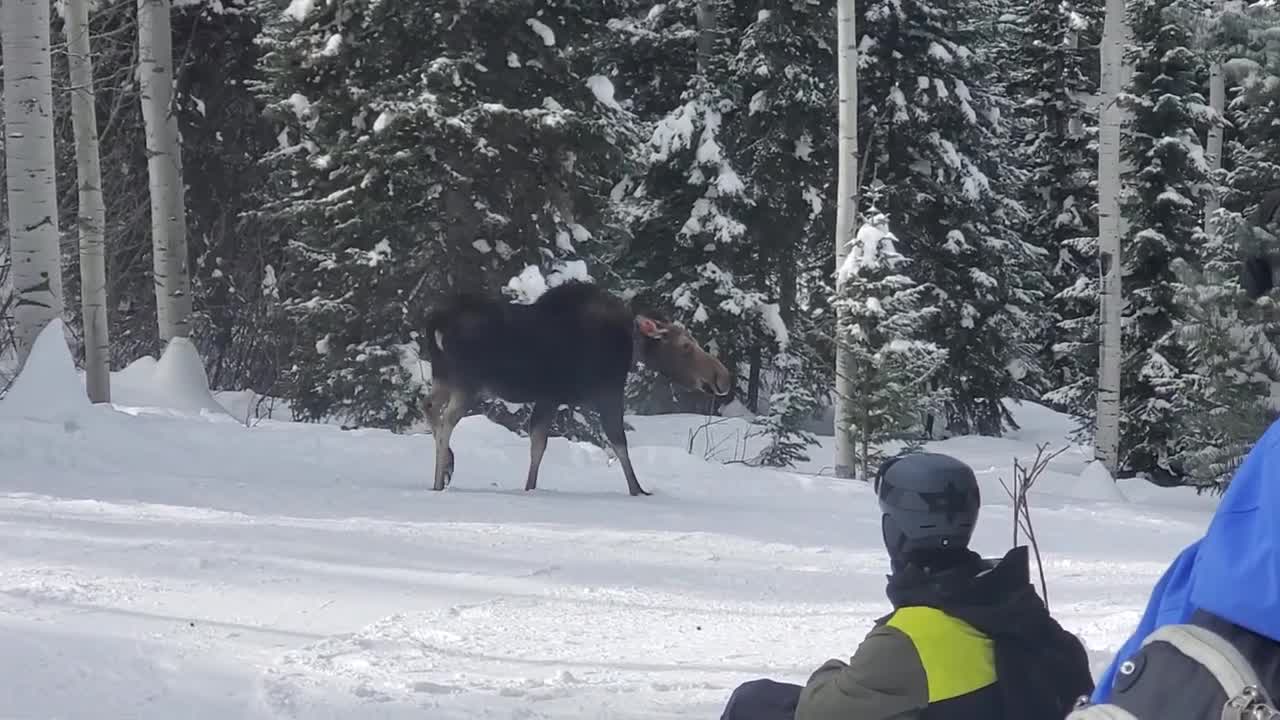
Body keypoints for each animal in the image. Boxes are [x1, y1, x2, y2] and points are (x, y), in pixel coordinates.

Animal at [421, 281, 732, 496]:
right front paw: (638, 489)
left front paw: (530, 487)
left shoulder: (549, 397)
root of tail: (435, 322)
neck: (630, 347)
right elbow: (618, 442)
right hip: (467, 382)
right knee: (447, 421)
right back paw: (438, 479)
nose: (723, 377)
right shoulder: (606, 393)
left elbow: (538, 445)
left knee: (429, 407)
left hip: (444, 377)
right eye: (686, 345)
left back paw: (447, 466)